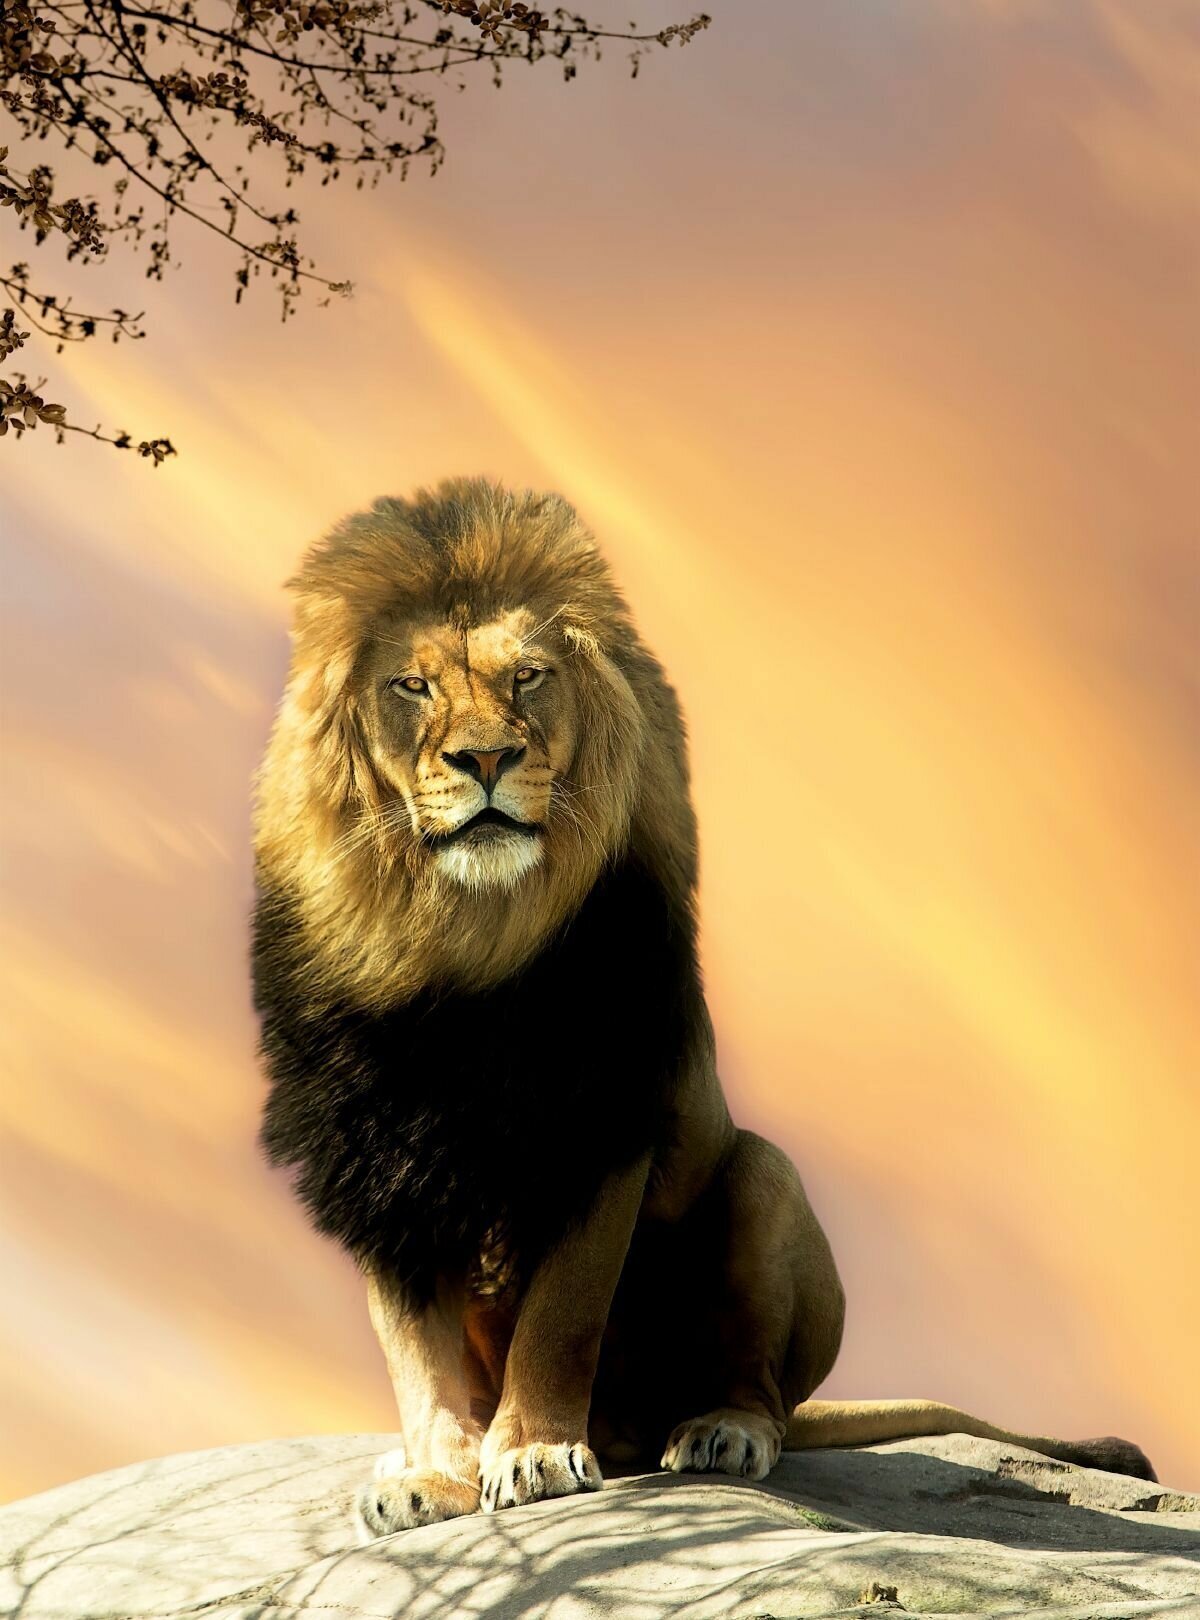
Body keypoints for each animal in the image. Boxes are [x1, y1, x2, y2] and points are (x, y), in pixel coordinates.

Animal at [251, 477, 1154, 1538]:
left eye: (529, 679)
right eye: (412, 688)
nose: (487, 759)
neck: (464, 934)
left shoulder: (609, 1112)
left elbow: (561, 1313)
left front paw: (537, 1455)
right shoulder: (378, 1165)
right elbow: (414, 1355)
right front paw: (436, 1475)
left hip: (763, 1179)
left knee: (760, 1385)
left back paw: (722, 1431)